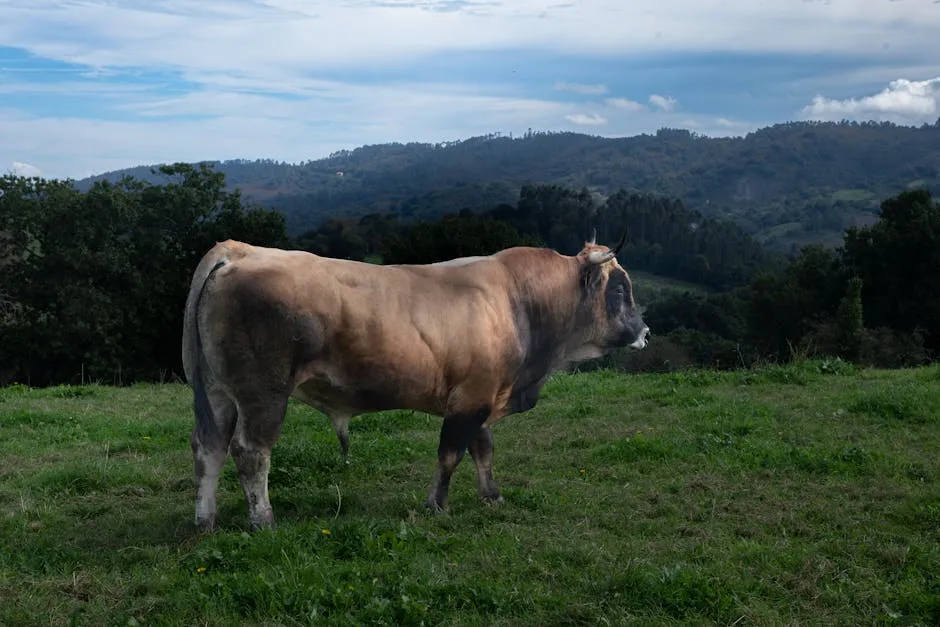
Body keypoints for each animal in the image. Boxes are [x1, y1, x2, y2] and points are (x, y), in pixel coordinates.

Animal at [180, 228, 648, 532]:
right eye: (619, 288)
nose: (644, 331)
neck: (517, 302)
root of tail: (239, 251)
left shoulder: (481, 395)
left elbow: (483, 449)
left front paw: (491, 496)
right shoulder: (470, 400)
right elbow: (451, 455)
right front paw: (437, 505)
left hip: (218, 394)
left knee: (208, 448)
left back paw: (206, 520)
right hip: (263, 394)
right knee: (250, 452)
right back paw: (263, 519)